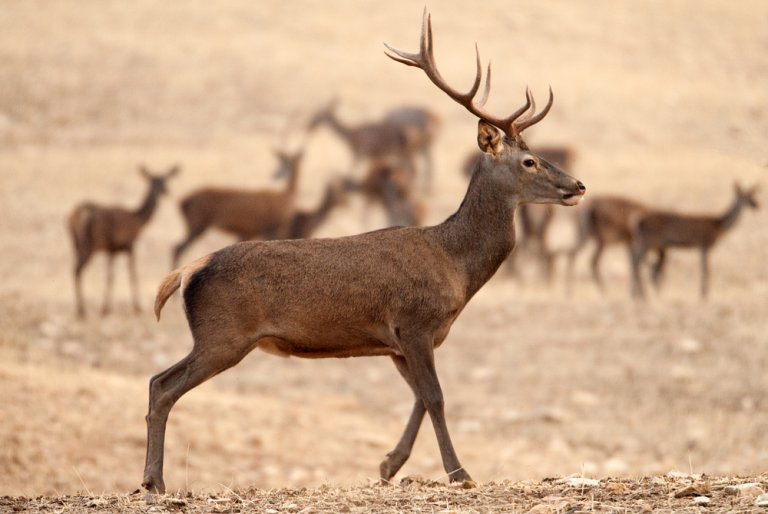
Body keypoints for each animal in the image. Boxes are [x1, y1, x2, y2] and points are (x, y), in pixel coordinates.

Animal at [68, 165, 180, 318]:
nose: (167, 191)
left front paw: (105, 308)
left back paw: (80, 309)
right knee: (77, 269)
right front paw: (136, 307)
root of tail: (82, 213)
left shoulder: (112, 249)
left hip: (76, 243)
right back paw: (81, 310)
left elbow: (110, 276)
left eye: (164, 179)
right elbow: (132, 274)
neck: (137, 221)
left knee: (75, 269)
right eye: (154, 181)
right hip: (91, 244)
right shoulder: (129, 244)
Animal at [171, 148, 303, 268]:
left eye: (286, 163)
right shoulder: (268, 228)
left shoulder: (251, 232)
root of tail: (183, 202)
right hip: (197, 224)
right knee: (177, 248)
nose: (274, 175)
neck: (287, 198)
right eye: (282, 162)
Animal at [629, 183, 759, 299]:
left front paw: (703, 293)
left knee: (635, 259)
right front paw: (704, 294)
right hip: (650, 241)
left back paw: (637, 293)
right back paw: (641, 294)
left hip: (647, 242)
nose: (756, 205)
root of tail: (639, 222)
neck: (718, 225)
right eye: (744, 197)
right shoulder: (705, 244)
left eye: (751, 195)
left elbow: (704, 268)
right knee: (636, 260)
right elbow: (706, 269)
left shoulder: (701, 247)